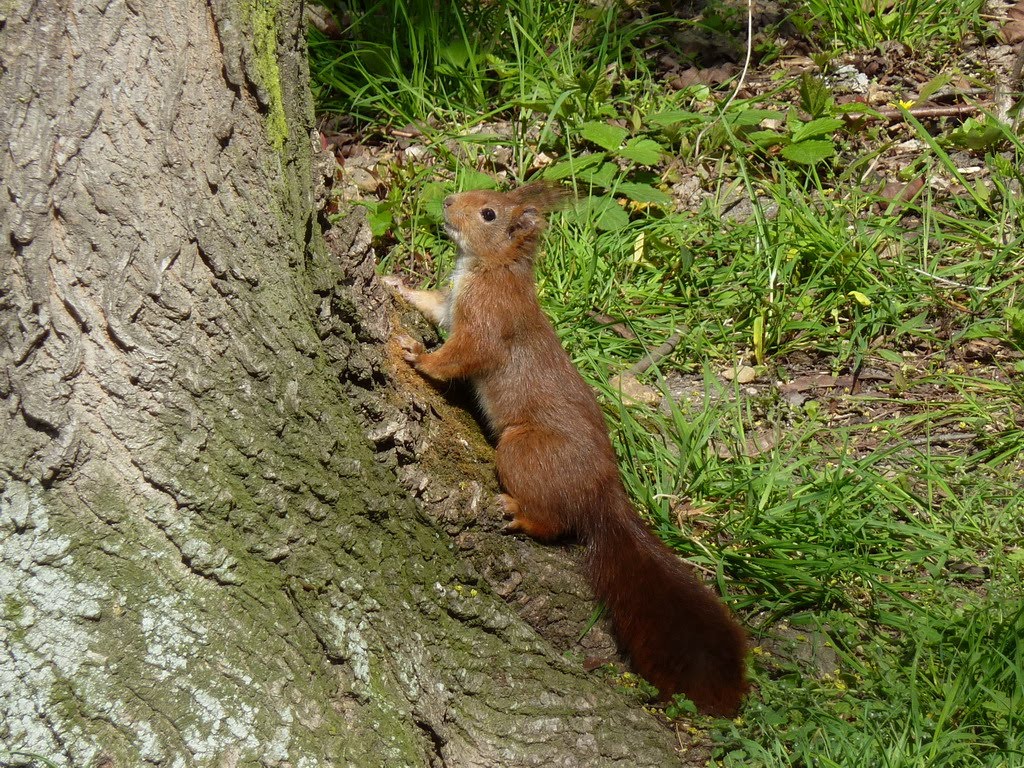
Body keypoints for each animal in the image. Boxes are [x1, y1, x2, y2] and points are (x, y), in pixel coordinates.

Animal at [384, 182, 748, 716]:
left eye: (488, 212)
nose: (448, 201)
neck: (490, 269)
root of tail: (602, 492)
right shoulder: (452, 302)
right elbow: (431, 303)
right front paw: (396, 282)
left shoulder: (486, 320)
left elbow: (462, 355)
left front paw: (418, 356)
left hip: (522, 451)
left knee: (555, 524)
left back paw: (519, 515)